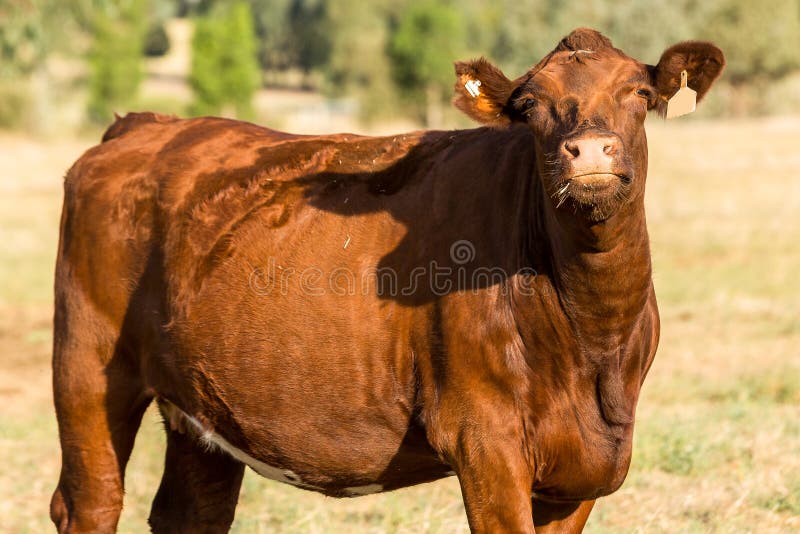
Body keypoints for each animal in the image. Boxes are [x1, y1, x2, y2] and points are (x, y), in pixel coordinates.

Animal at [50, 28, 724, 533]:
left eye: (640, 92)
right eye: (530, 105)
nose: (590, 152)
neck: (593, 341)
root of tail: (150, 125)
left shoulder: (587, 463)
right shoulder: (485, 439)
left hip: (200, 403)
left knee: (190, 511)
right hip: (88, 368)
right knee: (90, 502)